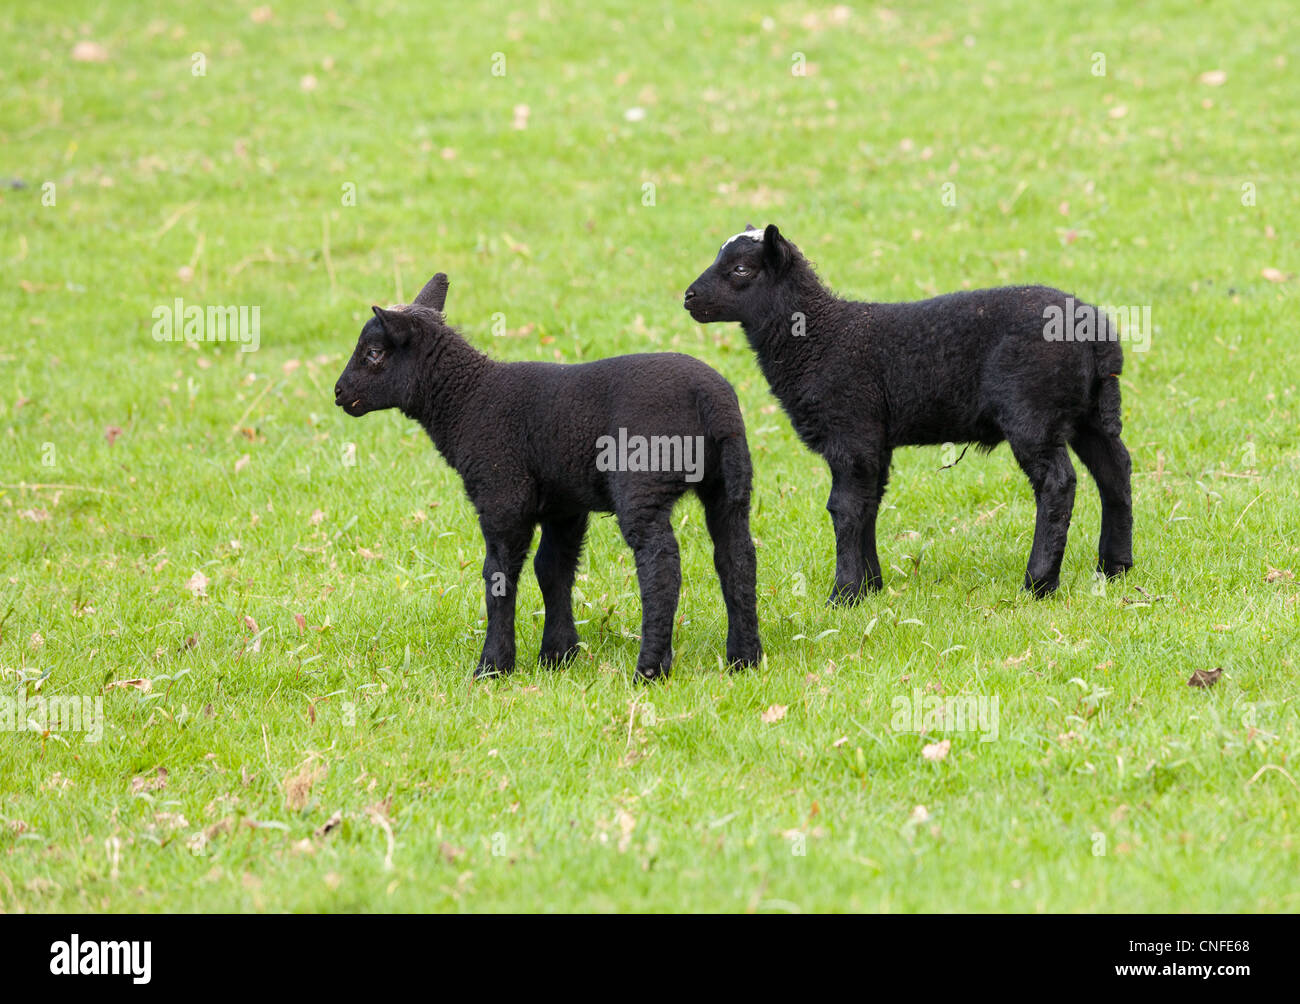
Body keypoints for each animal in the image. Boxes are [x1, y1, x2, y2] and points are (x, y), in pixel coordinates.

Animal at [334, 271, 762, 681]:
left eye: (373, 353)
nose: (338, 393)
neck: (466, 401)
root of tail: (709, 399)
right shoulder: (564, 505)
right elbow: (553, 569)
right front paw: (558, 655)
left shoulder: (502, 494)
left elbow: (499, 575)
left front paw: (493, 666)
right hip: (730, 485)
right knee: (737, 557)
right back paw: (744, 659)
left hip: (643, 484)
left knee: (660, 566)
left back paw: (649, 671)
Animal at [684, 225, 1134, 601]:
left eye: (741, 268)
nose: (688, 297)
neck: (817, 338)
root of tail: (1100, 335)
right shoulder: (872, 439)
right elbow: (868, 503)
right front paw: (870, 587)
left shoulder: (849, 429)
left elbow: (844, 508)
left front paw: (843, 594)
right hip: (1087, 415)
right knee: (1115, 471)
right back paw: (1115, 568)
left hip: (1032, 413)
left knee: (1058, 483)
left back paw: (1039, 582)